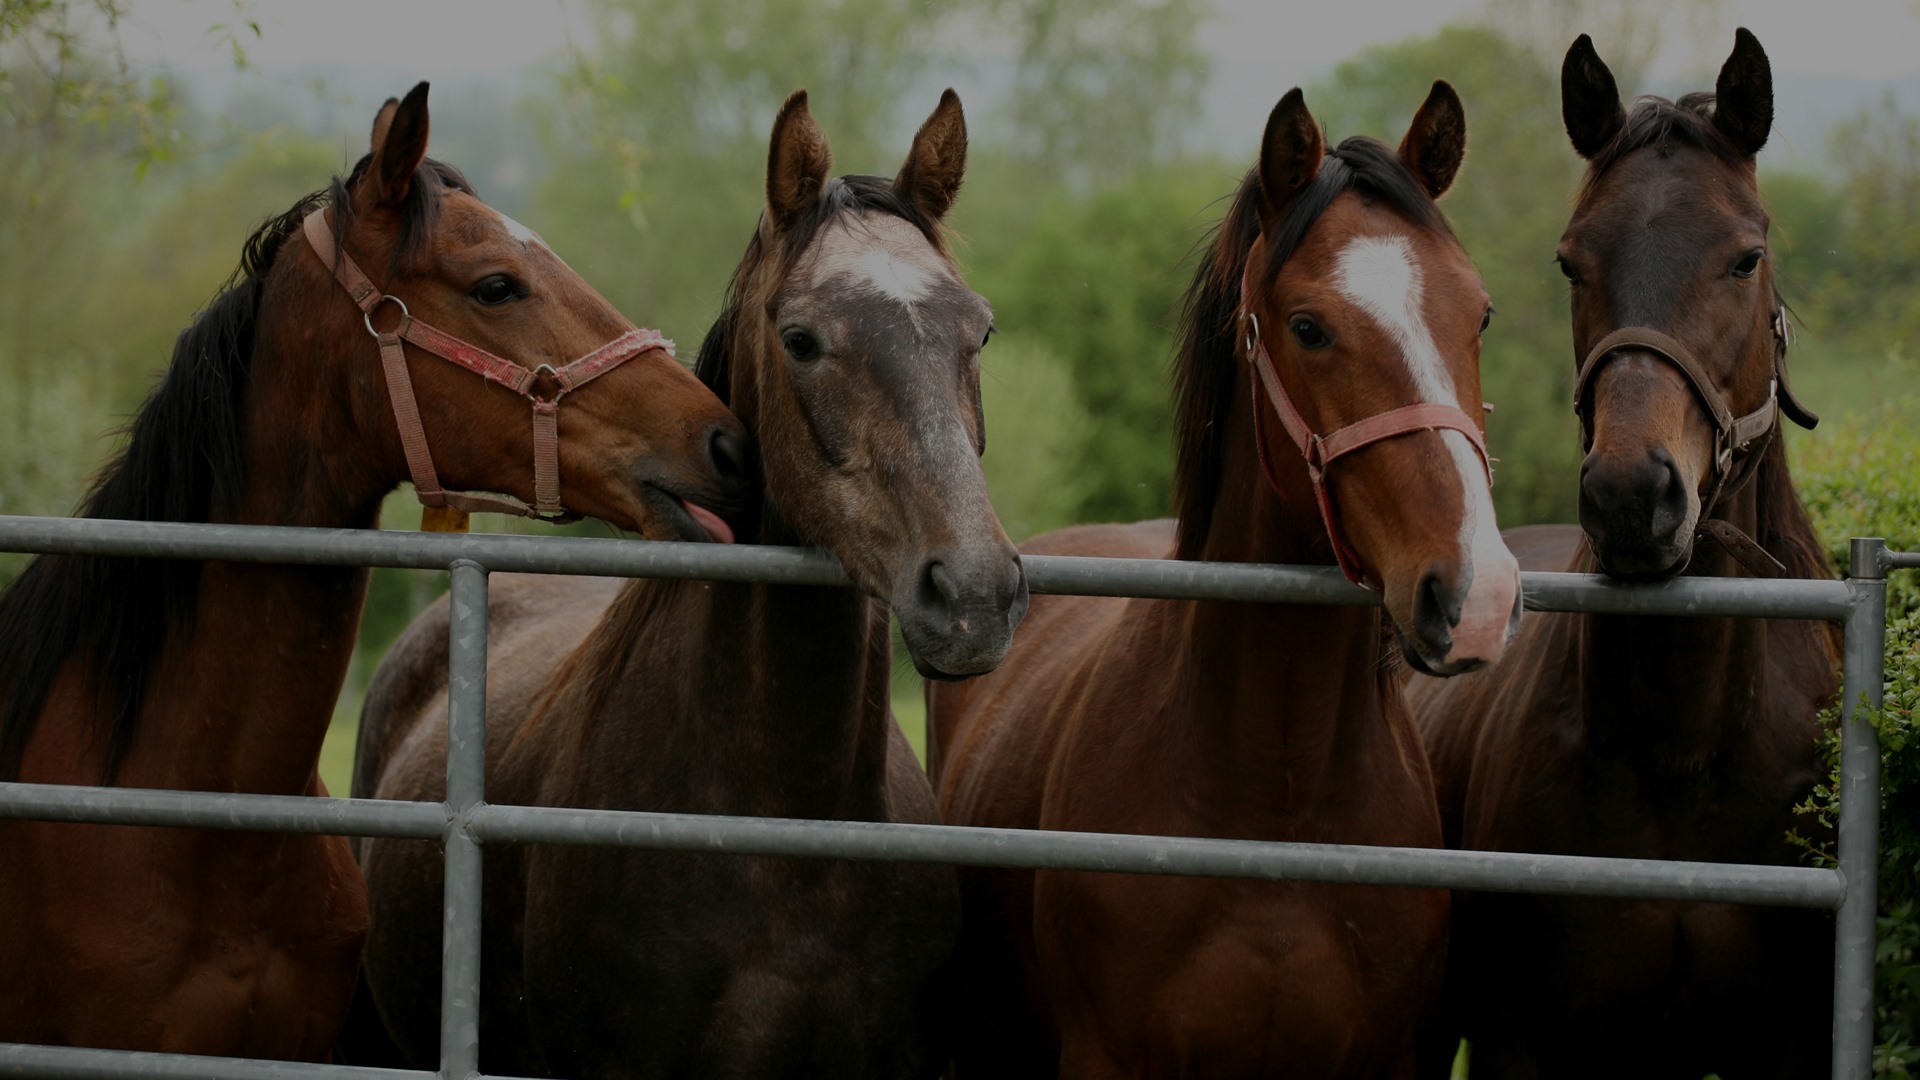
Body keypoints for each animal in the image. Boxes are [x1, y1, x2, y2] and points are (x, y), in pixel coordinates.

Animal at [1409, 31, 1836, 1079]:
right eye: (1571, 263)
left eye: (1746, 258)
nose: (1631, 498)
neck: (1680, 753)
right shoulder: (1521, 1040)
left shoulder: (1792, 1040)